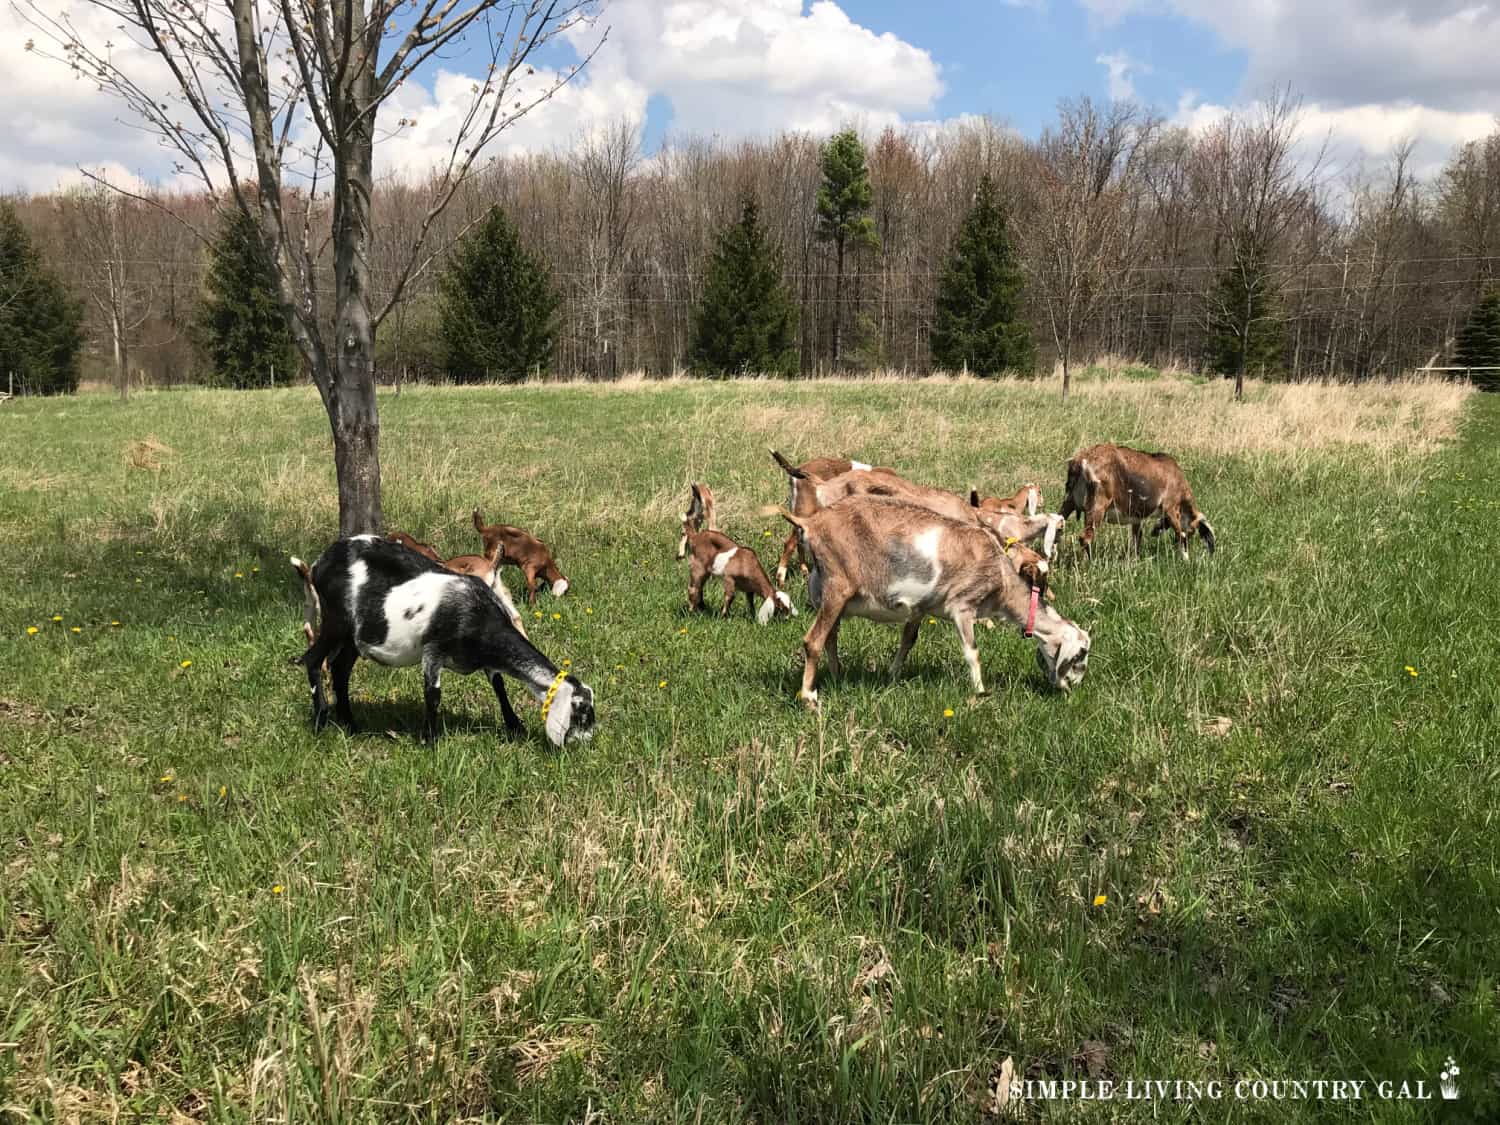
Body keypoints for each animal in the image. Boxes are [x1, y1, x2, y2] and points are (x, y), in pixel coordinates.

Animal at [290, 536, 594, 746]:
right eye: (582, 713)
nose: (586, 743)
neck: (476, 613)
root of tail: (318, 563)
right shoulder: (433, 651)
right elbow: (433, 694)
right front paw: (430, 741)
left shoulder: (484, 656)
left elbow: (499, 686)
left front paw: (515, 726)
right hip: (335, 622)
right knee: (313, 661)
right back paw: (320, 723)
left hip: (354, 637)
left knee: (340, 670)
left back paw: (351, 725)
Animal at [678, 484, 795, 623]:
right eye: (780, 608)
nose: (787, 620)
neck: (748, 565)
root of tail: (695, 536)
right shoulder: (729, 578)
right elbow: (730, 597)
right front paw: (724, 617)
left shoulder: (749, 589)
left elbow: (750, 603)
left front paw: (752, 617)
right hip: (697, 566)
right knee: (693, 587)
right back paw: (691, 612)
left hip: (706, 570)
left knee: (700, 586)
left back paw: (701, 607)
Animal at [767, 497, 1090, 707]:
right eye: (1080, 654)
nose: (1072, 688)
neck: (1001, 577)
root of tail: (810, 522)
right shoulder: (962, 606)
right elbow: (972, 652)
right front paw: (980, 691)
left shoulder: (919, 609)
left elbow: (908, 641)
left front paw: (892, 676)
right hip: (838, 586)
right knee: (813, 641)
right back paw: (809, 698)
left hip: (826, 591)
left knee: (830, 637)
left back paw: (836, 677)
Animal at [1060, 443, 1216, 560]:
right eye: (1193, 531)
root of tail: (1081, 461)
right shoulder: (1170, 507)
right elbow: (1179, 534)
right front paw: (1185, 559)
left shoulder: (1136, 518)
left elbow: (1137, 538)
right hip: (1097, 505)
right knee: (1085, 538)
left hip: (1069, 501)